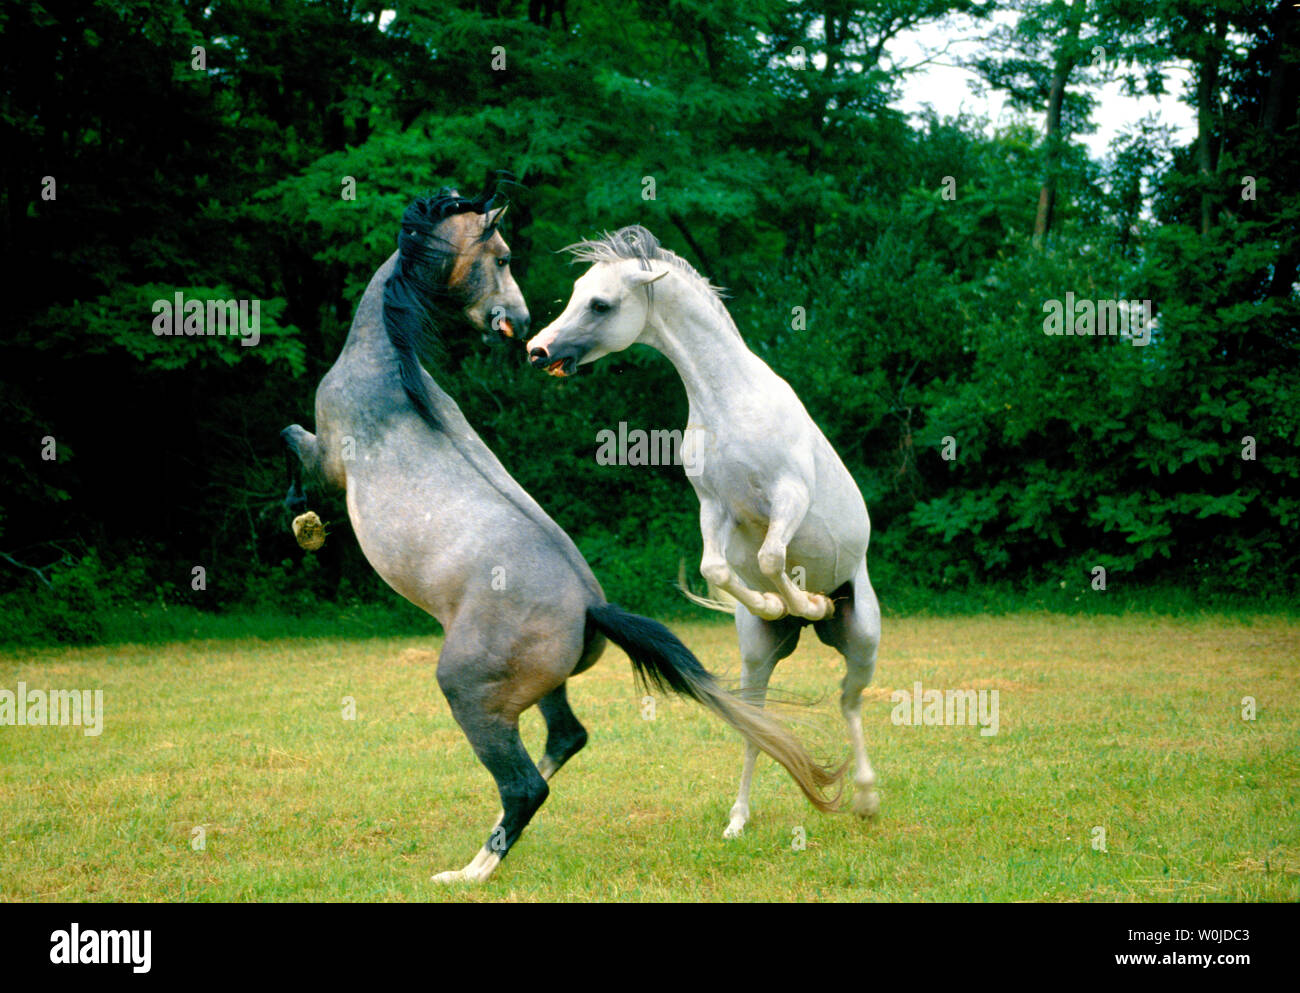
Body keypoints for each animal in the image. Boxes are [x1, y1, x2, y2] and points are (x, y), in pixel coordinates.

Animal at [280, 192, 843, 882]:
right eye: (502, 257)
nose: (522, 328)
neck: (387, 372)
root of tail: (591, 607)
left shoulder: (328, 458)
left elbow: (290, 444)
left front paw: (304, 528)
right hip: (541, 690)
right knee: (565, 741)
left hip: (471, 693)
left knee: (526, 785)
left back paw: (470, 873)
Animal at [524, 225, 882, 838]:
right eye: (574, 294)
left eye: (601, 304)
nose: (538, 351)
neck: (729, 401)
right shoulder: (715, 509)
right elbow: (720, 567)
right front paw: (774, 602)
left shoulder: (789, 495)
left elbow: (769, 559)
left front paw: (808, 601)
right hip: (758, 658)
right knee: (758, 725)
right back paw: (737, 818)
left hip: (863, 640)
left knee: (849, 704)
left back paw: (864, 796)